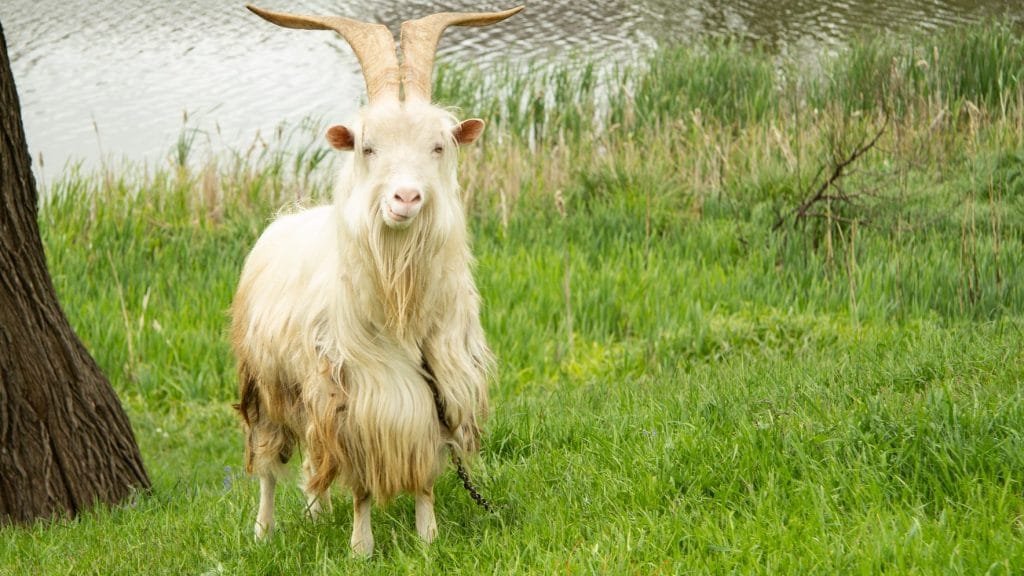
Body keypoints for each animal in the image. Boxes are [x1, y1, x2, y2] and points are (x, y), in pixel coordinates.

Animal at [231, 4, 522, 556]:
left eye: (437, 146)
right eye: (368, 148)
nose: (406, 198)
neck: (400, 308)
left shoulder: (439, 390)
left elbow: (425, 475)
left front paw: (428, 538)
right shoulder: (355, 400)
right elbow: (361, 484)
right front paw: (360, 548)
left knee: (311, 462)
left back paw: (316, 512)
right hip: (266, 387)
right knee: (269, 467)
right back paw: (262, 532)